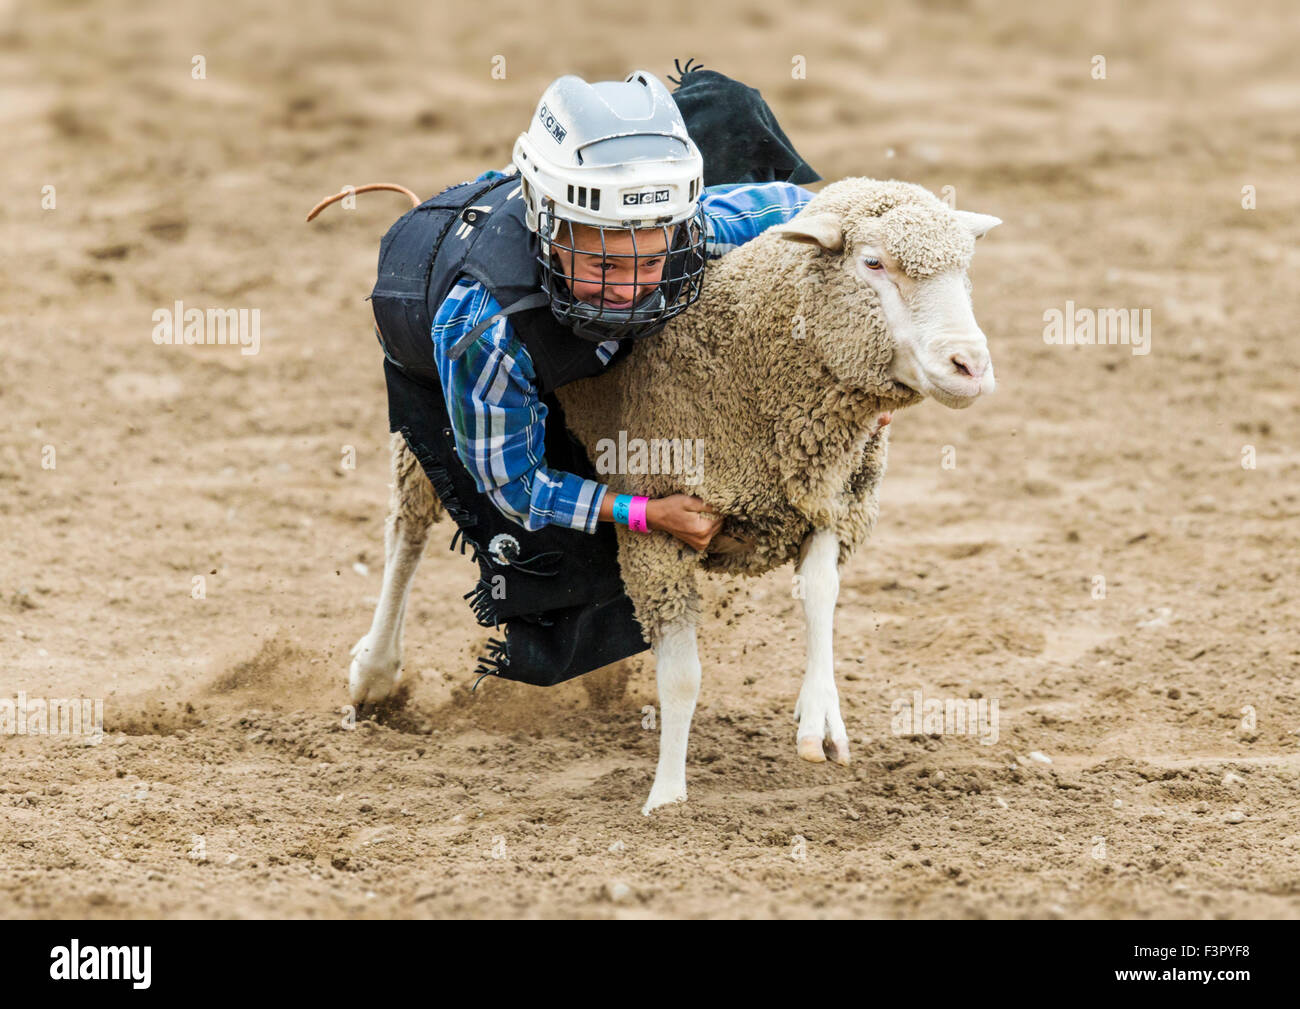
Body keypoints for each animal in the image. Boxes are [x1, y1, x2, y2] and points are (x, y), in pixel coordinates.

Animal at [349, 176, 1001, 815]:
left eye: (964, 268)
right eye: (873, 263)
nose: (971, 366)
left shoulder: (828, 501)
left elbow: (821, 596)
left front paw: (820, 717)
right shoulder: (658, 537)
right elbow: (683, 677)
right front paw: (667, 798)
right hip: (427, 421)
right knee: (408, 532)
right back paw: (372, 675)